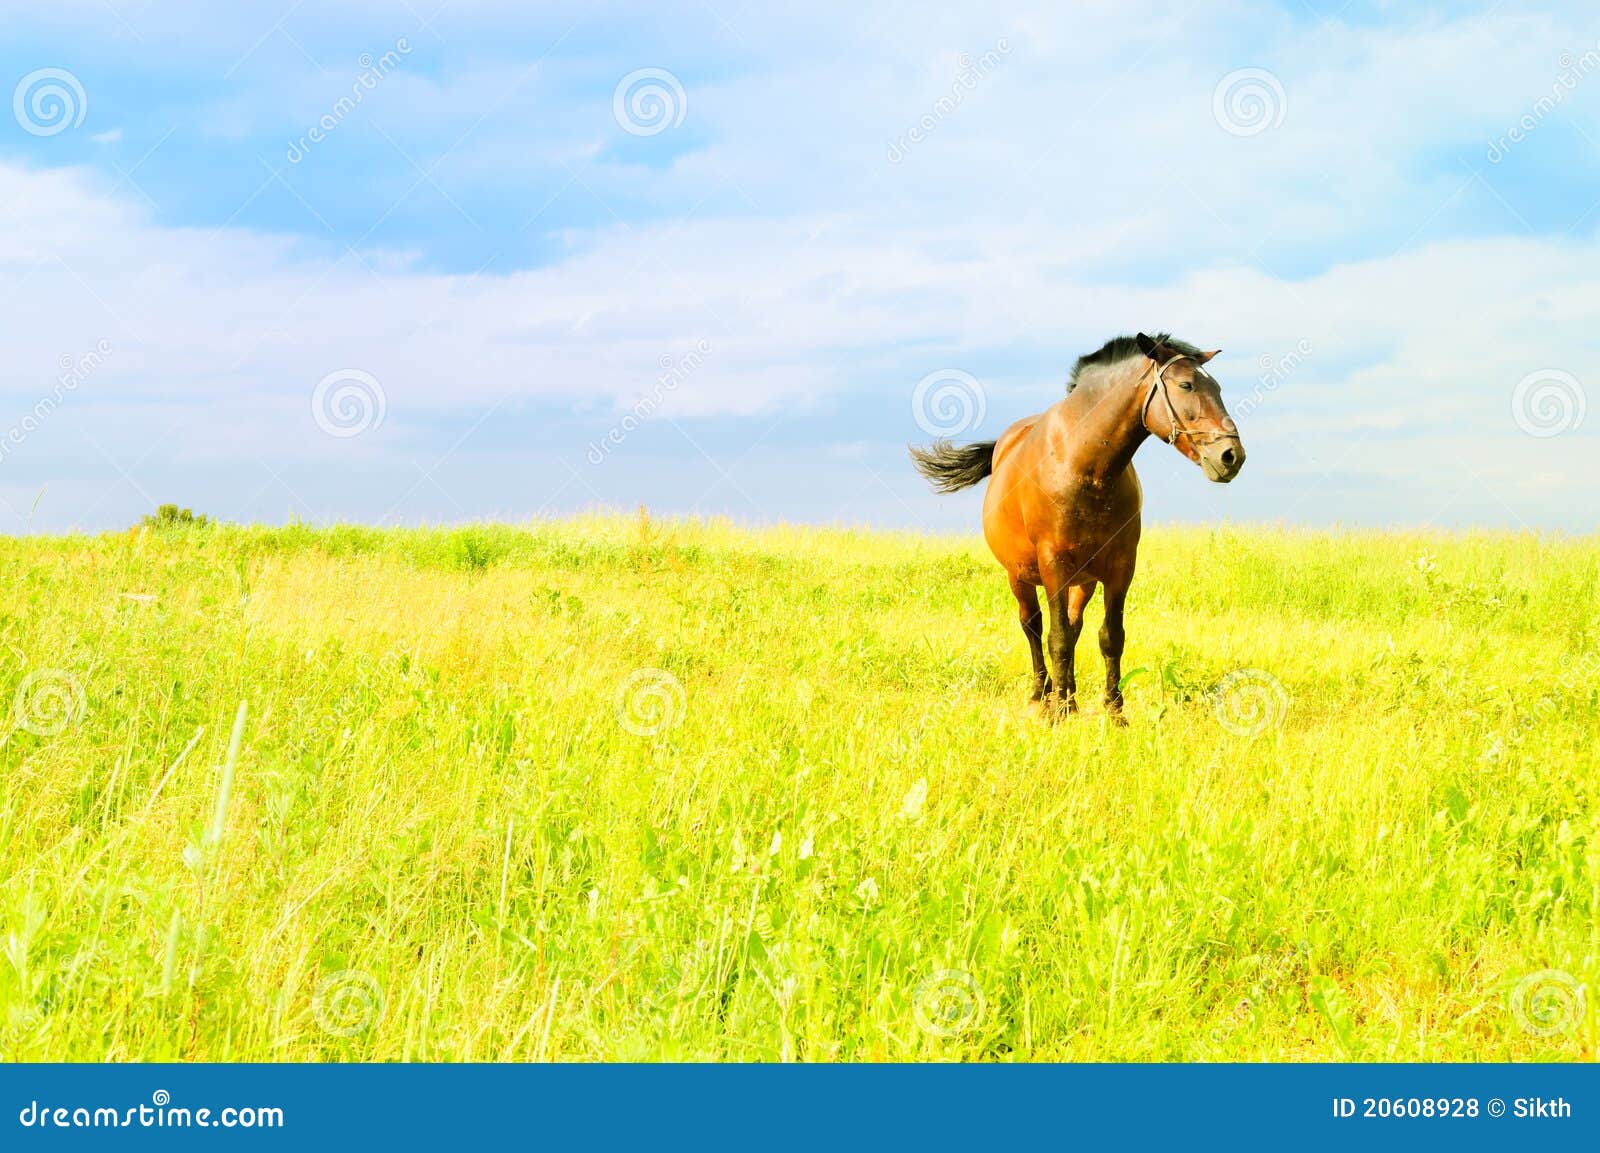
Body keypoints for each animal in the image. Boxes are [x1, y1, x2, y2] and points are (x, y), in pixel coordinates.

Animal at [910, 333, 1245, 722]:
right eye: (1186, 385)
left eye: (1216, 387)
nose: (1231, 456)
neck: (1084, 464)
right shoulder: (1053, 563)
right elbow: (1054, 638)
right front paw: (1055, 714)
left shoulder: (1120, 567)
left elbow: (1109, 637)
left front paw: (1115, 713)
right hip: (1019, 576)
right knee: (1034, 627)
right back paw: (1042, 697)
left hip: (1082, 582)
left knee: (1073, 628)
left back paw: (1068, 698)